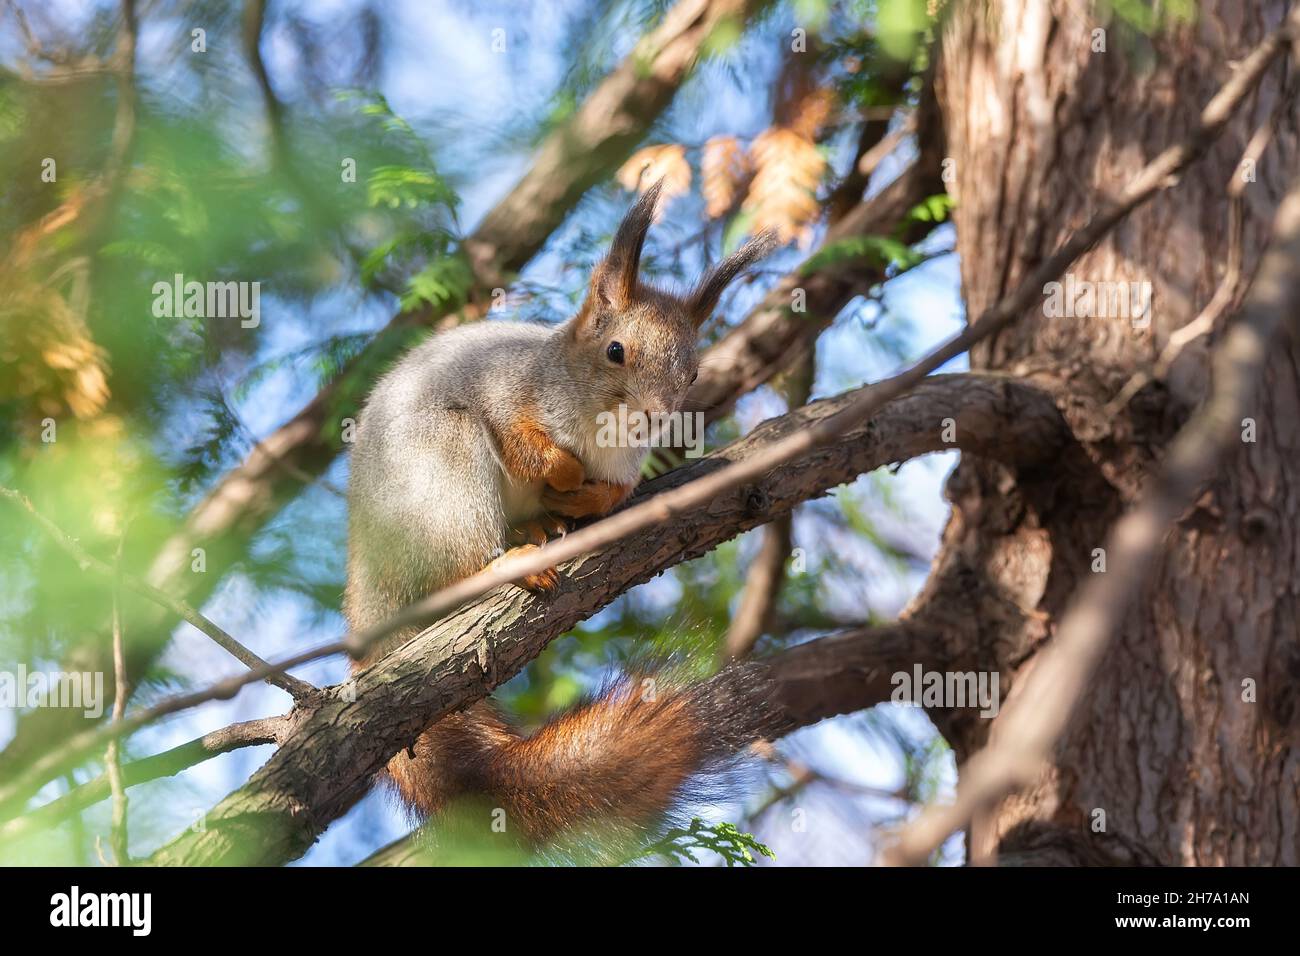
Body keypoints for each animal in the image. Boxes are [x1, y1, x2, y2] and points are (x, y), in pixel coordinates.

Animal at [344, 182, 786, 854]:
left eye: (693, 372)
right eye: (615, 351)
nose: (657, 418)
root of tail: (372, 596)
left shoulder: (626, 464)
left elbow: (618, 489)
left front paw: (586, 500)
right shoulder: (504, 394)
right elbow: (525, 443)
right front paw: (564, 473)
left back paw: (538, 530)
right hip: (443, 467)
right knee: (456, 569)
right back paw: (511, 561)